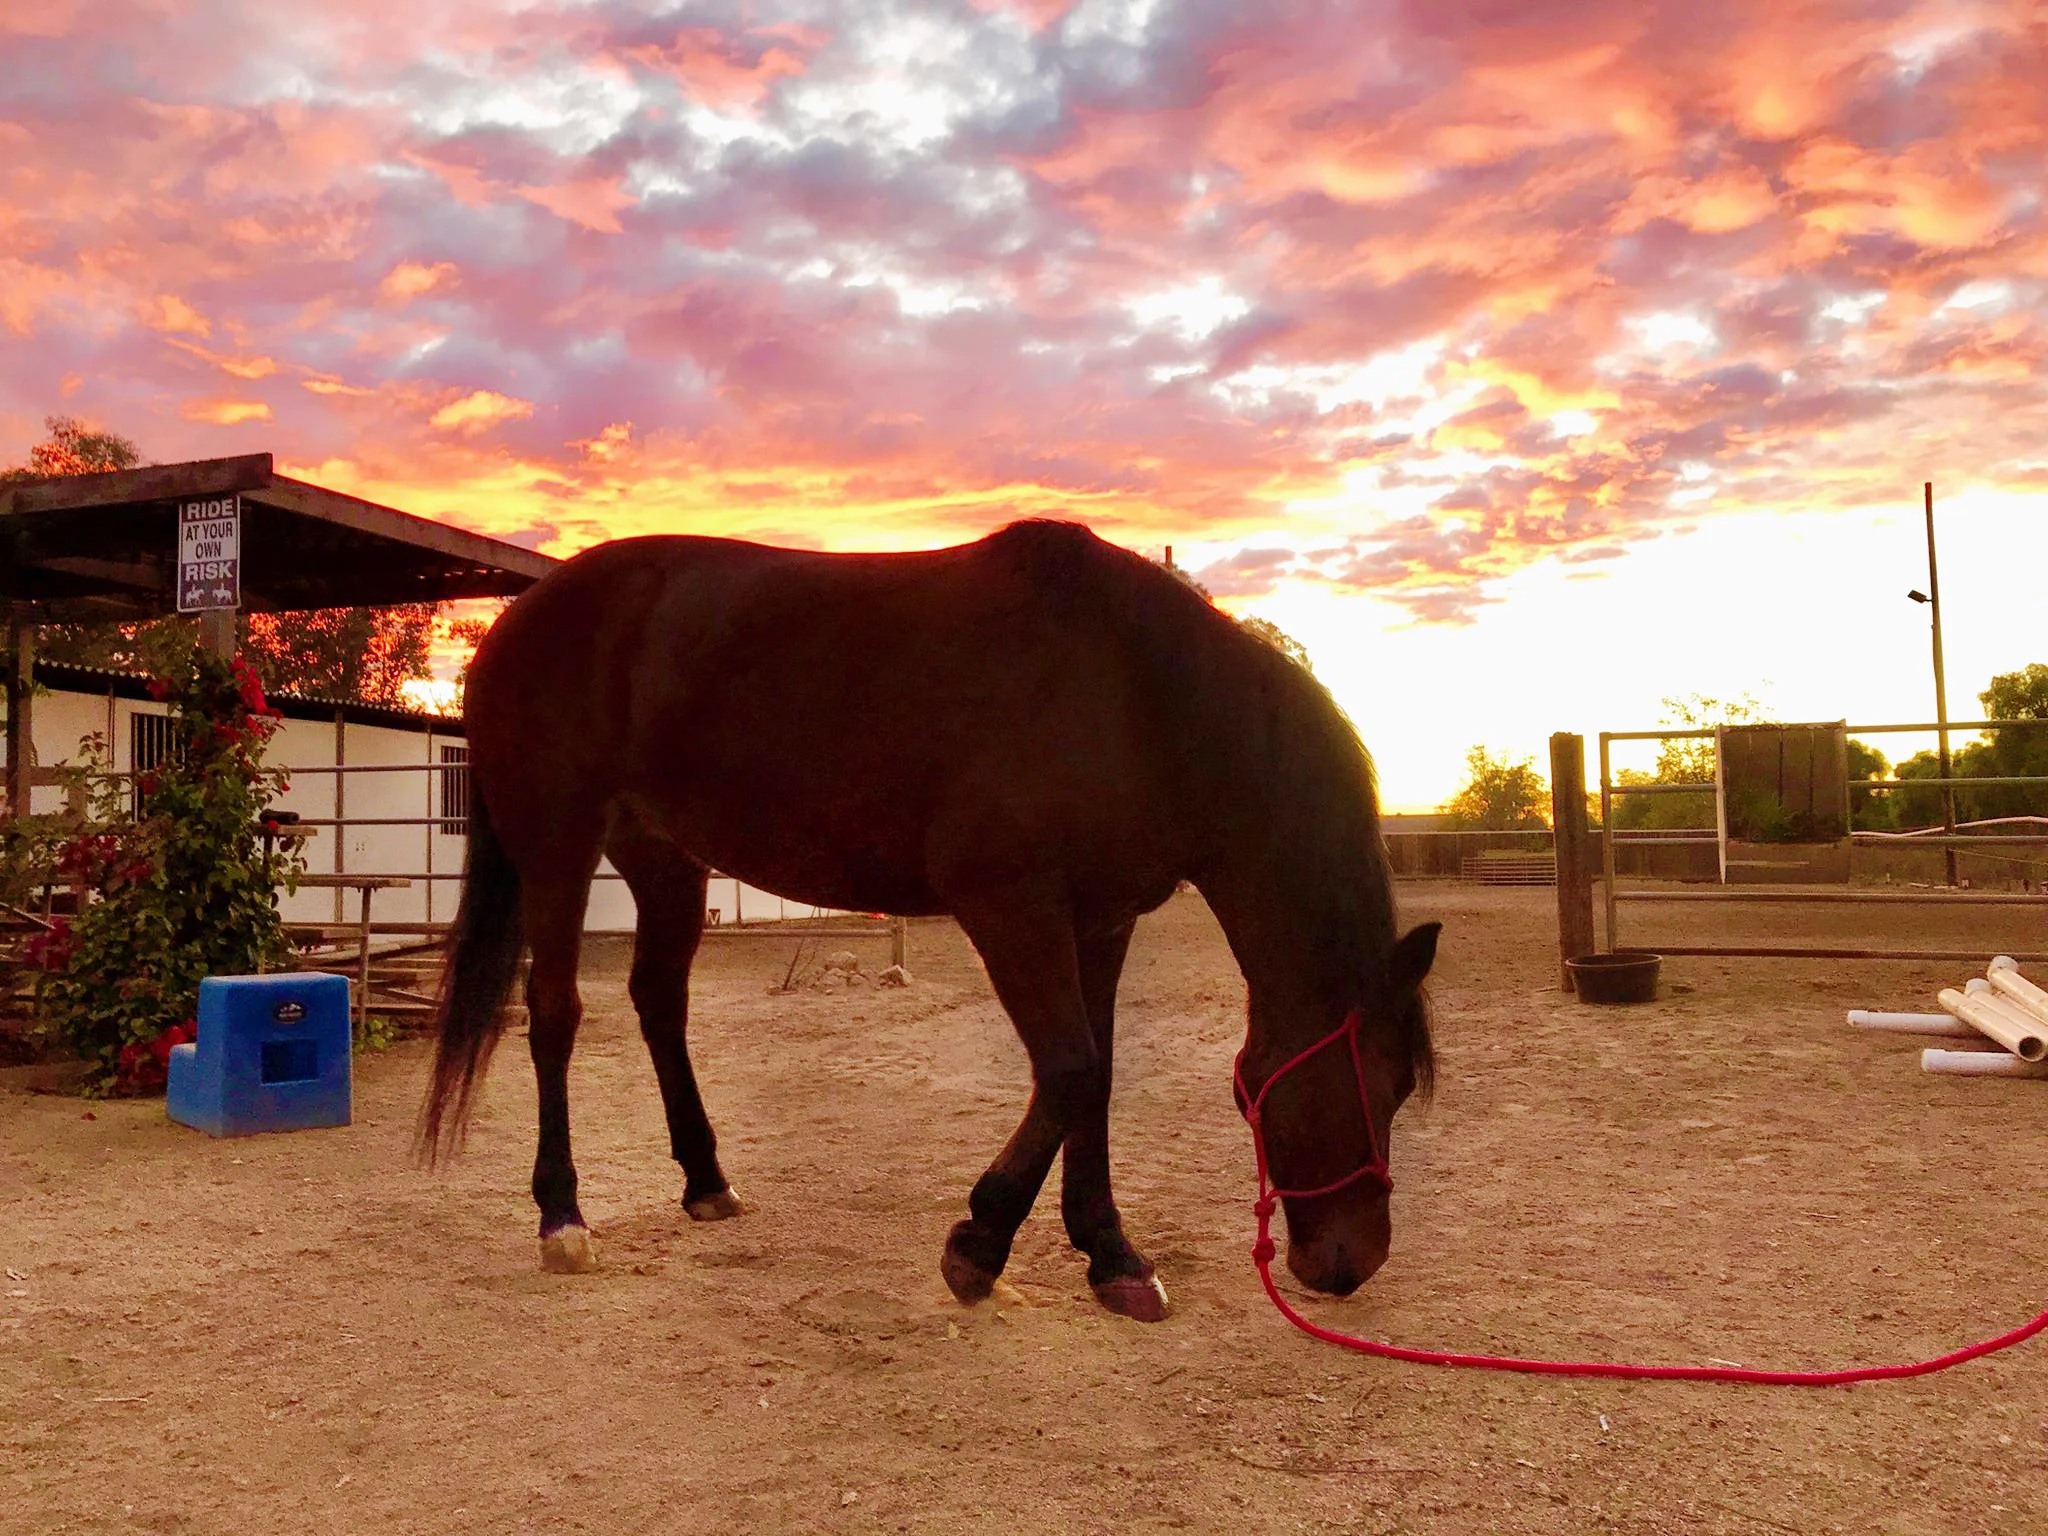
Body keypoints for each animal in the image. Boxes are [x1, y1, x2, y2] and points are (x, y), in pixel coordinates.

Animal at [419, 519, 1438, 1321]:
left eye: (1400, 1088)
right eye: (1371, 1083)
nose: (1349, 1264)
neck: (1138, 698)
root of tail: (517, 618)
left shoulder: (1100, 922)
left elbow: (1097, 1079)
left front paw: (1111, 1256)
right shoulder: (1010, 906)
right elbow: (1070, 1070)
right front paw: (979, 1244)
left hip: (663, 859)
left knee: (659, 1002)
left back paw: (706, 1183)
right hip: (559, 848)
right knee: (556, 1015)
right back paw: (563, 1217)